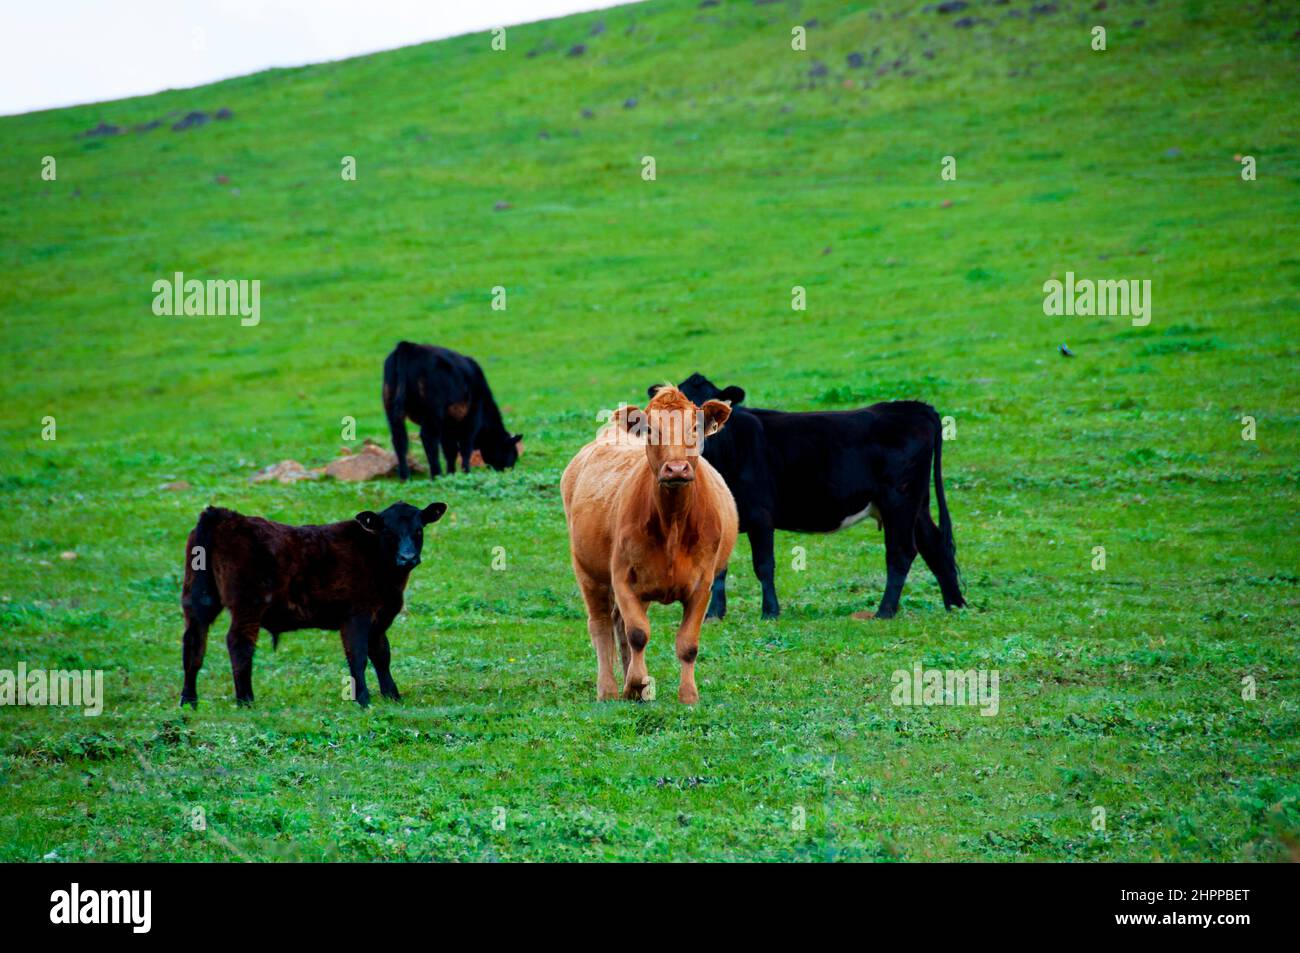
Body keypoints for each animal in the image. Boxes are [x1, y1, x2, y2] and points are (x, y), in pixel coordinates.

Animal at [179, 500, 446, 708]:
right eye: (388, 531)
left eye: (419, 530)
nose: (407, 558)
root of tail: (224, 516)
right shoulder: (356, 615)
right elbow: (358, 656)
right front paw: (363, 699)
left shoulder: (379, 618)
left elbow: (382, 654)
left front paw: (393, 696)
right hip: (247, 605)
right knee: (239, 643)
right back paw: (246, 701)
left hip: (197, 598)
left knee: (194, 642)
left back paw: (189, 701)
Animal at [383, 342, 523, 480]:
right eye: (512, 452)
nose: (509, 470)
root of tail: (409, 346)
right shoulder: (471, 418)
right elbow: (465, 447)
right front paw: (465, 472)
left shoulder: (447, 425)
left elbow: (450, 450)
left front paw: (452, 473)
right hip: (433, 412)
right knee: (428, 438)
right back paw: (436, 474)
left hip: (391, 408)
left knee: (399, 439)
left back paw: (405, 477)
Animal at [561, 385, 738, 703]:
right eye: (652, 430)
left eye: (695, 428)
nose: (676, 469)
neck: (673, 523)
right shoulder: (621, 579)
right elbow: (638, 633)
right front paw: (635, 684)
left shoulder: (702, 585)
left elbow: (688, 644)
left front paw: (688, 696)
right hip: (588, 571)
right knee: (601, 625)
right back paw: (608, 689)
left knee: (617, 624)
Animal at [658, 373, 964, 621]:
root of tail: (913, 407)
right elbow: (718, 570)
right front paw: (714, 614)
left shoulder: (760, 515)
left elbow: (764, 565)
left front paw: (770, 612)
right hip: (916, 504)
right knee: (935, 545)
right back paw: (956, 605)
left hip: (899, 501)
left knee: (901, 552)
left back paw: (885, 611)